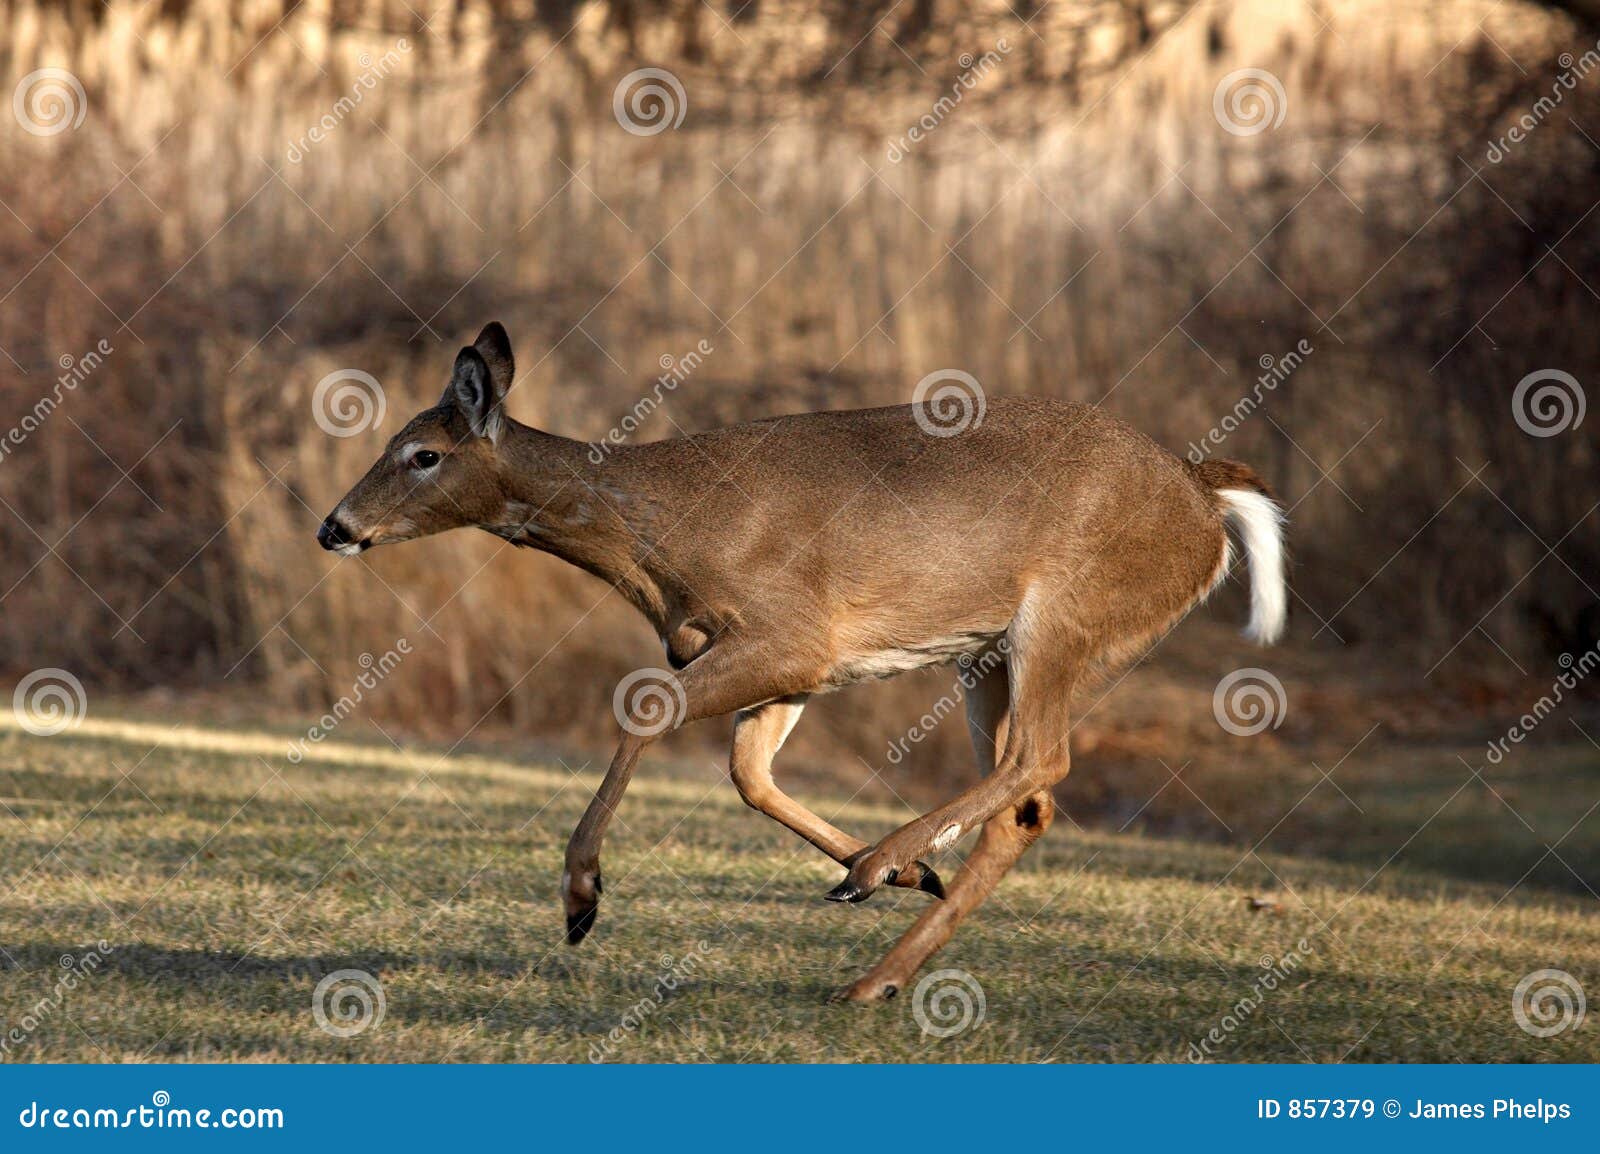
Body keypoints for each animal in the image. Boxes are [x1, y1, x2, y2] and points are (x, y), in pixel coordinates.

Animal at [318, 322, 1288, 1003]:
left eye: (423, 454)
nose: (335, 526)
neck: (658, 545)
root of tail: (1202, 495)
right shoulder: (800, 668)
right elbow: (749, 773)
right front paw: (906, 872)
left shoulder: (792, 633)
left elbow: (645, 709)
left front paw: (581, 897)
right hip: (985, 656)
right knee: (1026, 802)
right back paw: (876, 964)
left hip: (1068, 616)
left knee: (1041, 760)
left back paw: (871, 876)